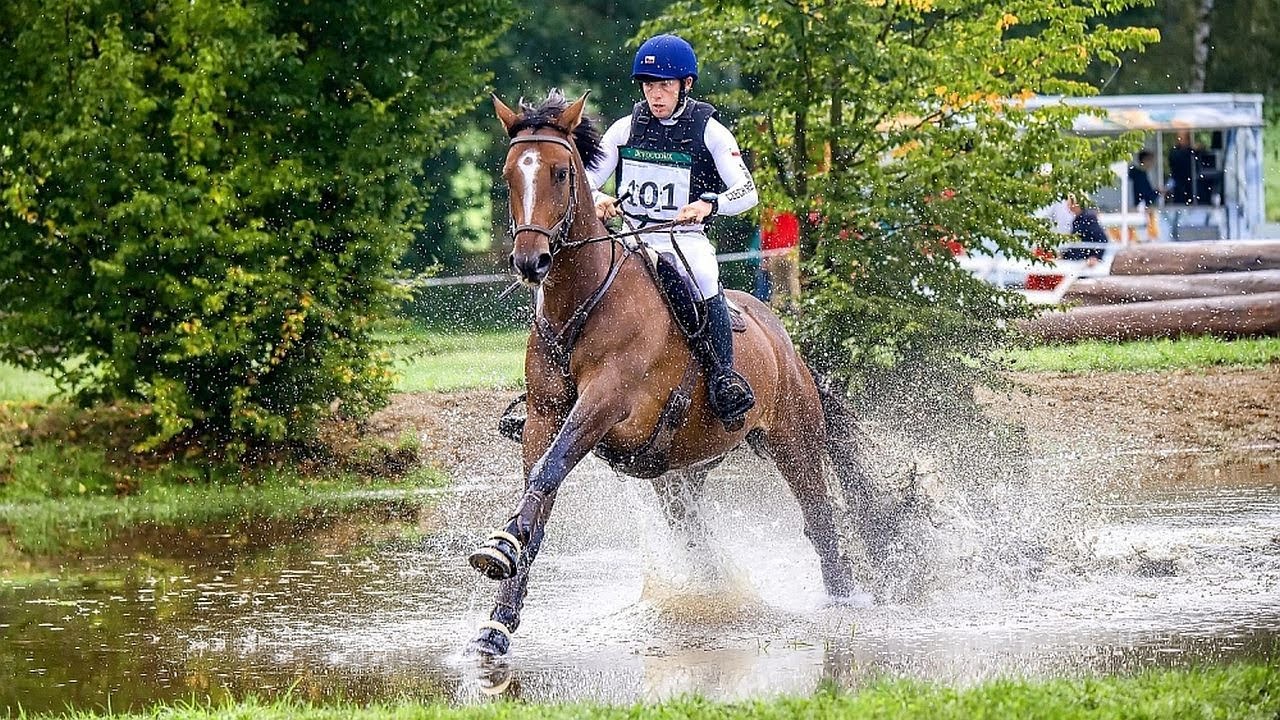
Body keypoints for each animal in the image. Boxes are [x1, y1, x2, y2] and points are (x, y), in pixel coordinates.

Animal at [466, 90, 865, 656]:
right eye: (507, 175)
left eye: (562, 173)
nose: (530, 261)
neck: (581, 304)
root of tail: (783, 337)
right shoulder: (544, 416)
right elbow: (540, 493)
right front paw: (498, 617)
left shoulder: (607, 404)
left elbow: (549, 470)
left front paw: (500, 546)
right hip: (684, 470)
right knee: (699, 534)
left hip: (794, 440)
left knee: (821, 520)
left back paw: (844, 605)